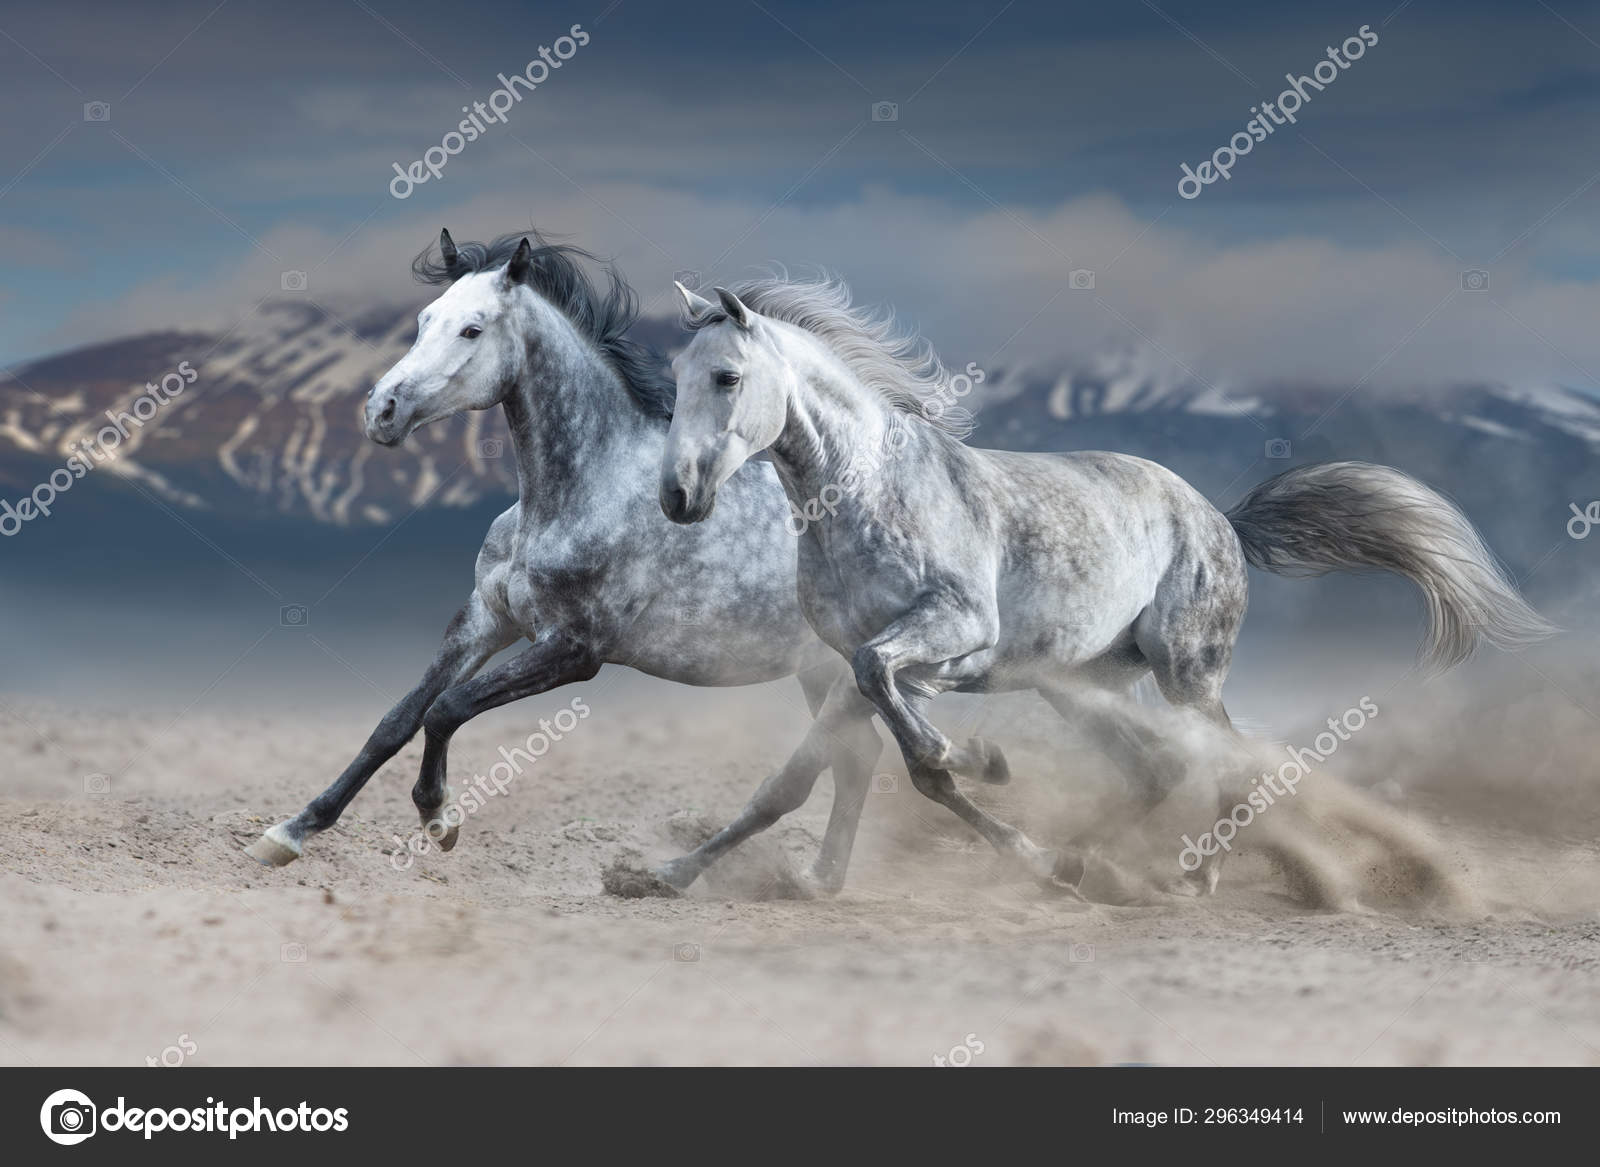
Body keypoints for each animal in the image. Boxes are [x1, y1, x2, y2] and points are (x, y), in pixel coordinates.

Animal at [246, 232, 885, 898]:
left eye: (472, 329)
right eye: (424, 320)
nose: (382, 411)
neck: (578, 493)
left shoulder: (574, 650)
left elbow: (449, 708)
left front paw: (439, 818)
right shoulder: (485, 619)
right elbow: (396, 720)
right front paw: (290, 833)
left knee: (829, 762)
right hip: (817, 672)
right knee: (857, 755)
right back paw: (818, 880)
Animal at [657, 275, 1552, 891]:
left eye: (727, 377)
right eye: (674, 379)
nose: (678, 497)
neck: (868, 491)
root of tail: (1221, 519)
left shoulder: (947, 634)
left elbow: (914, 742)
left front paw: (979, 762)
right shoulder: (853, 663)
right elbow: (807, 774)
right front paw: (677, 872)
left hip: (1186, 673)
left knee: (1228, 758)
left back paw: (1192, 875)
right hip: (1083, 683)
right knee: (1154, 769)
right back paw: (1092, 862)